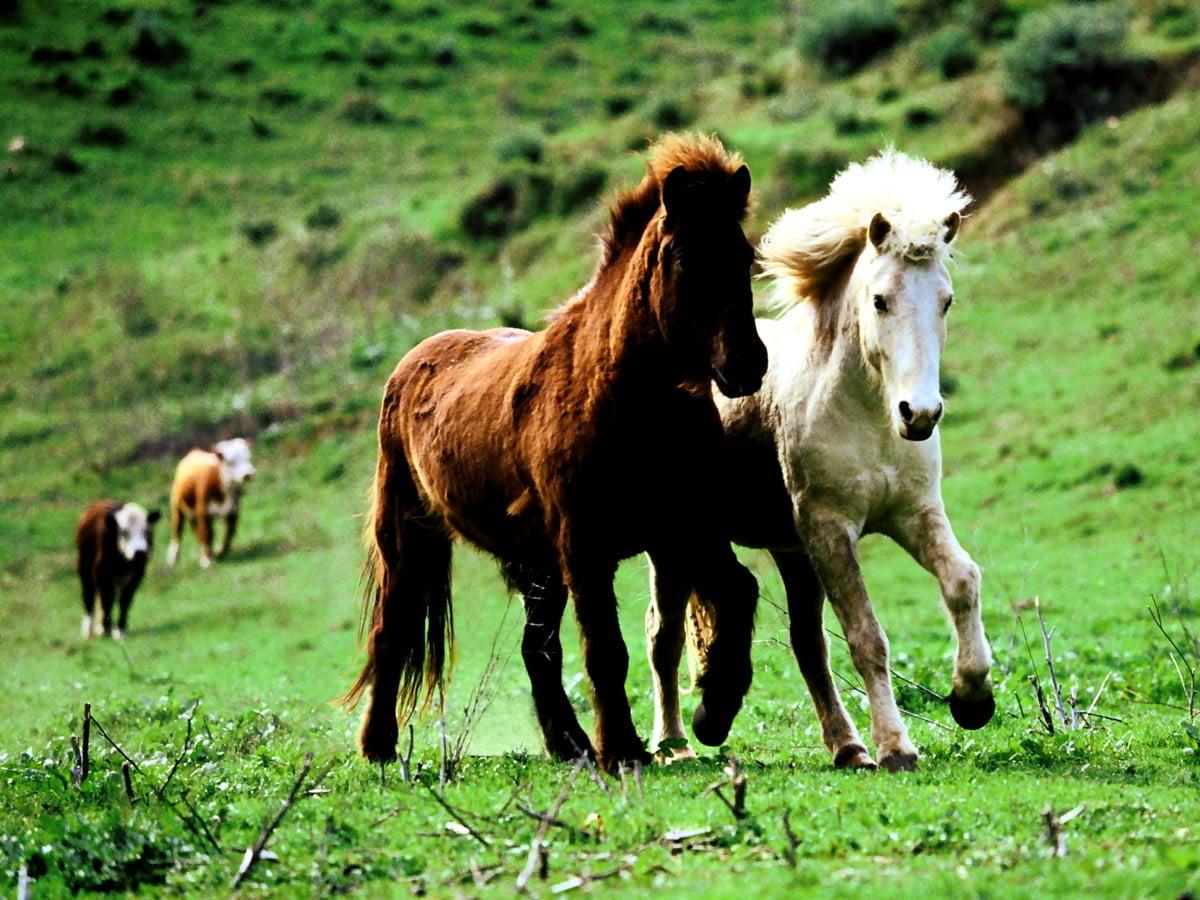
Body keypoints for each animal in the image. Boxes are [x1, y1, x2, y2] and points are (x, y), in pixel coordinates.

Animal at [342, 134, 768, 774]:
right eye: (685, 259)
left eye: (744, 255)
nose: (746, 363)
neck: (624, 396)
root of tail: (414, 360)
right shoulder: (585, 547)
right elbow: (606, 651)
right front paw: (624, 750)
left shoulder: (685, 530)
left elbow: (739, 593)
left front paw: (712, 713)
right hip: (410, 538)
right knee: (392, 633)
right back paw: (379, 746)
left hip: (538, 565)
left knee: (534, 650)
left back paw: (569, 745)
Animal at [645, 149, 995, 772]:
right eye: (880, 300)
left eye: (946, 301)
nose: (920, 413)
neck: (868, 417)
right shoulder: (832, 529)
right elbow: (866, 636)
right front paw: (897, 747)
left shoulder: (913, 513)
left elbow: (962, 580)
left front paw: (972, 698)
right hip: (676, 546)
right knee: (663, 637)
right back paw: (675, 743)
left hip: (791, 553)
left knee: (807, 644)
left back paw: (846, 747)